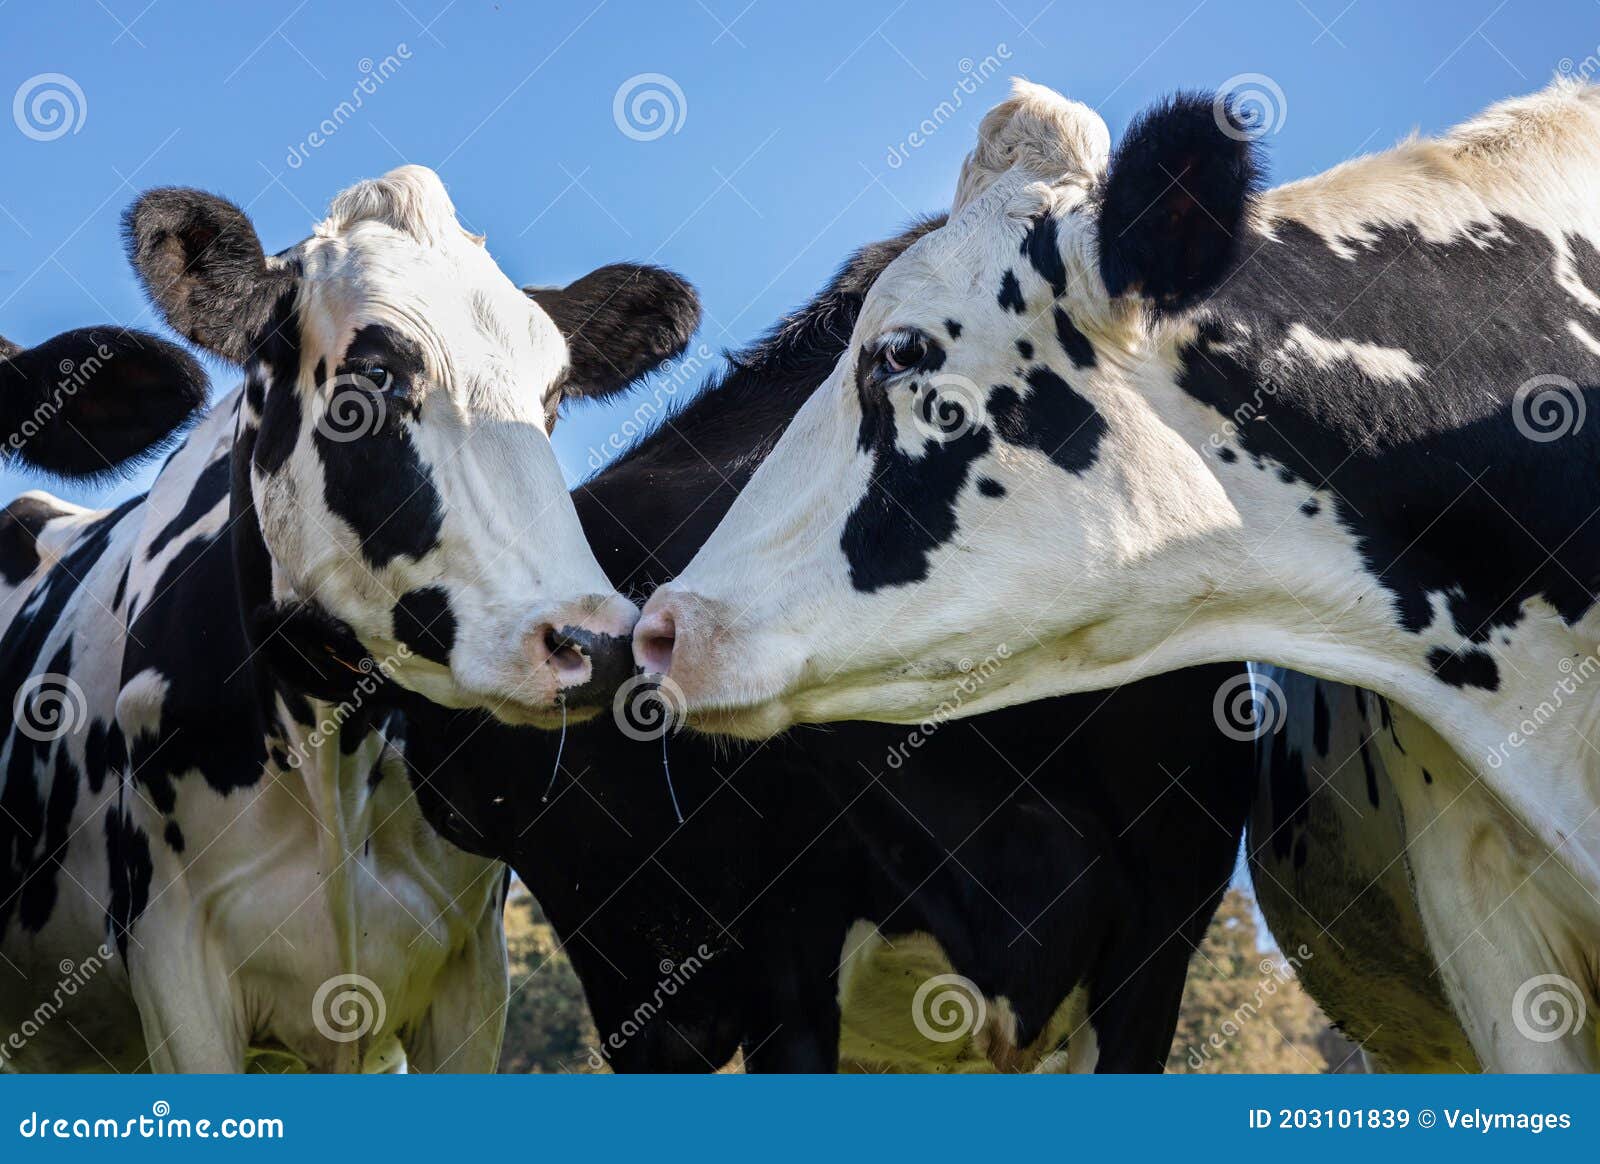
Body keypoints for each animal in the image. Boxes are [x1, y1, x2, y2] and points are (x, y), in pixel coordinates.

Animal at [0, 164, 699, 1072]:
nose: (596, 643)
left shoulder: (475, 973)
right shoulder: (174, 962)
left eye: (550, 398)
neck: (334, 742)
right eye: (373, 377)